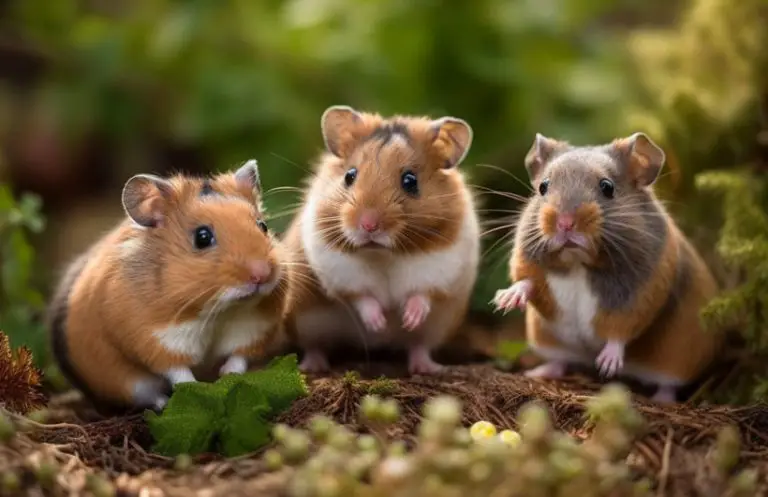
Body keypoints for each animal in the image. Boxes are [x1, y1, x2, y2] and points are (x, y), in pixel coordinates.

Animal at [48, 160, 288, 411]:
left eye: (263, 226)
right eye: (202, 237)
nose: (262, 275)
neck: (217, 310)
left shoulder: (253, 328)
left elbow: (238, 357)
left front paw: (228, 376)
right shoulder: (157, 340)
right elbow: (179, 373)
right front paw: (199, 391)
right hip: (124, 382)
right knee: (147, 394)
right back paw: (163, 403)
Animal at [283, 105, 480, 375]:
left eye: (410, 181)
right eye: (349, 176)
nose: (368, 225)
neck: (382, 253)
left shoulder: (442, 266)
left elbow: (422, 293)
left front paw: (408, 319)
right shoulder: (339, 269)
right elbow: (362, 297)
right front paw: (378, 323)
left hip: (438, 327)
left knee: (419, 346)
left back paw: (427, 366)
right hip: (305, 322)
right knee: (315, 346)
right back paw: (313, 367)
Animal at [492, 132, 723, 403]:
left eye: (607, 187)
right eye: (543, 187)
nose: (565, 223)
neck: (578, 262)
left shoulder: (640, 293)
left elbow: (620, 330)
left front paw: (606, 365)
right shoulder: (527, 262)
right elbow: (527, 281)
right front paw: (504, 300)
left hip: (676, 361)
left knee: (668, 386)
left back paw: (659, 398)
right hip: (548, 340)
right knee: (561, 361)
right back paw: (537, 372)